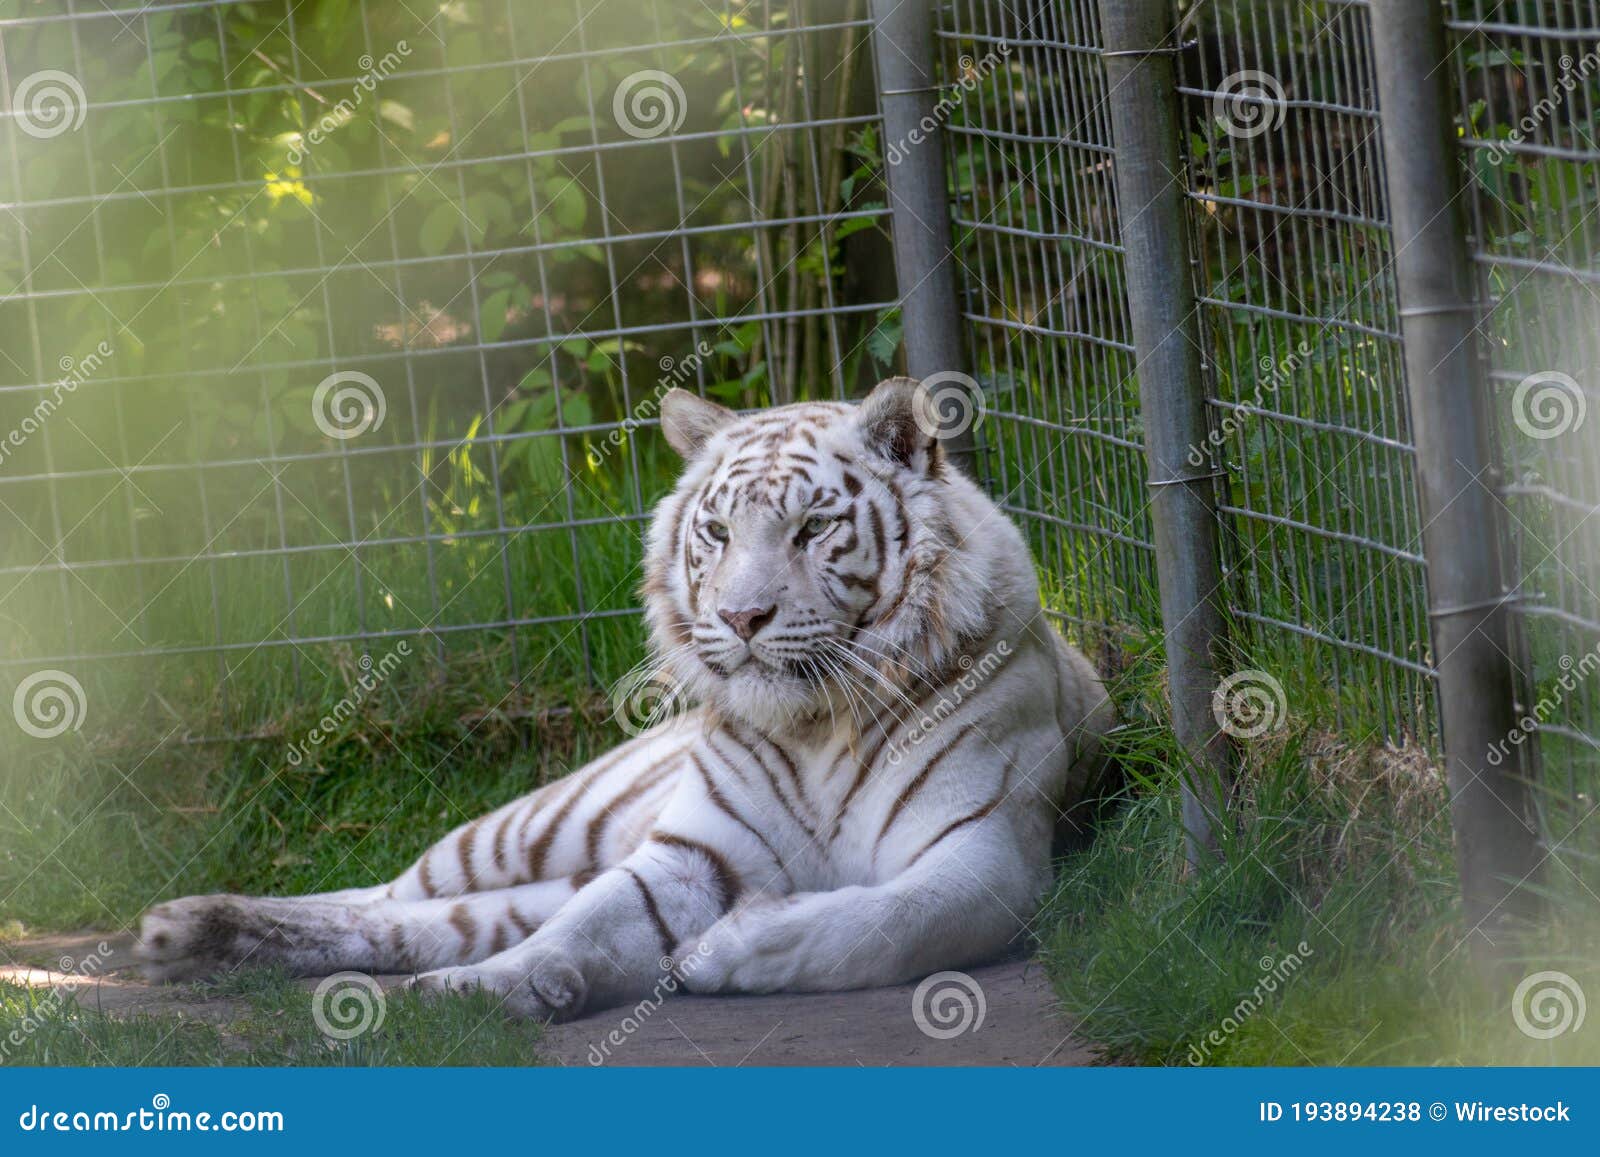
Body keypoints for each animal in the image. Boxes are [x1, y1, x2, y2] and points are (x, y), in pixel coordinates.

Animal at [136, 377, 1115, 1021]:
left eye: (813, 527)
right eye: (716, 530)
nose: (741, 615)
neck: (816, 728)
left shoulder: (983, 856)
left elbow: (879, 921)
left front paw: (723, 951)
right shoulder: (688, 854)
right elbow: (589, 922)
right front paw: (486, 989)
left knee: (419, 920)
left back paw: (184, 937)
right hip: (525, 826)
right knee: (388, 892)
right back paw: (172, 929)